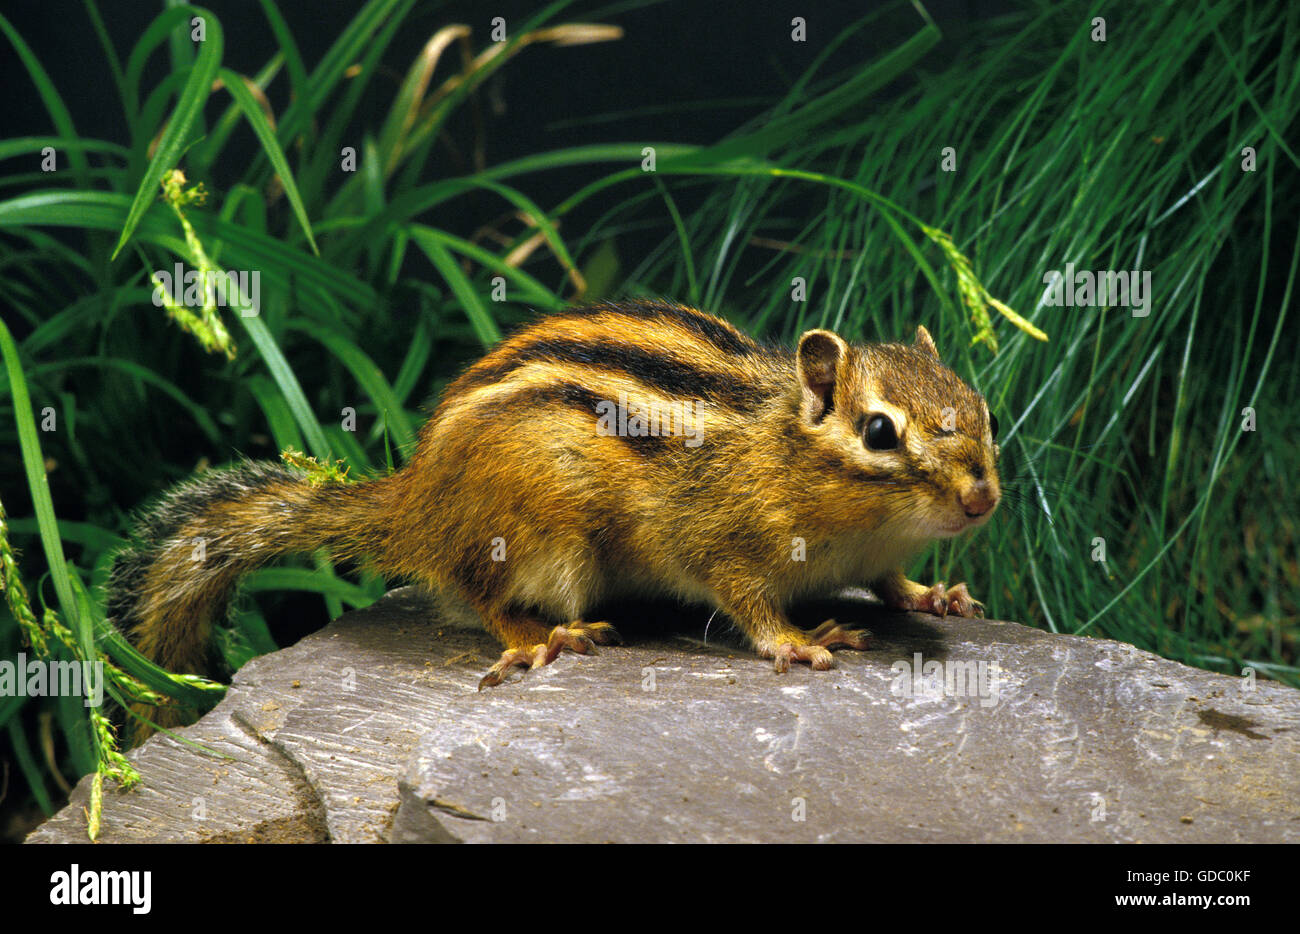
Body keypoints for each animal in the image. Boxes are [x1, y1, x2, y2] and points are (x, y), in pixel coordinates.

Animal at [108, 300, 1000, 731]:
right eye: (879, 432)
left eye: (981, 407)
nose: (982, 498)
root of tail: (416, 502)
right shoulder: (719, 539)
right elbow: (745, 604)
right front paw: (800, 639)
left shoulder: (877, 556)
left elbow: (893, 584)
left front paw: (937, 596)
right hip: (545, 537)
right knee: (483, 598)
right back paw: (544, 639)